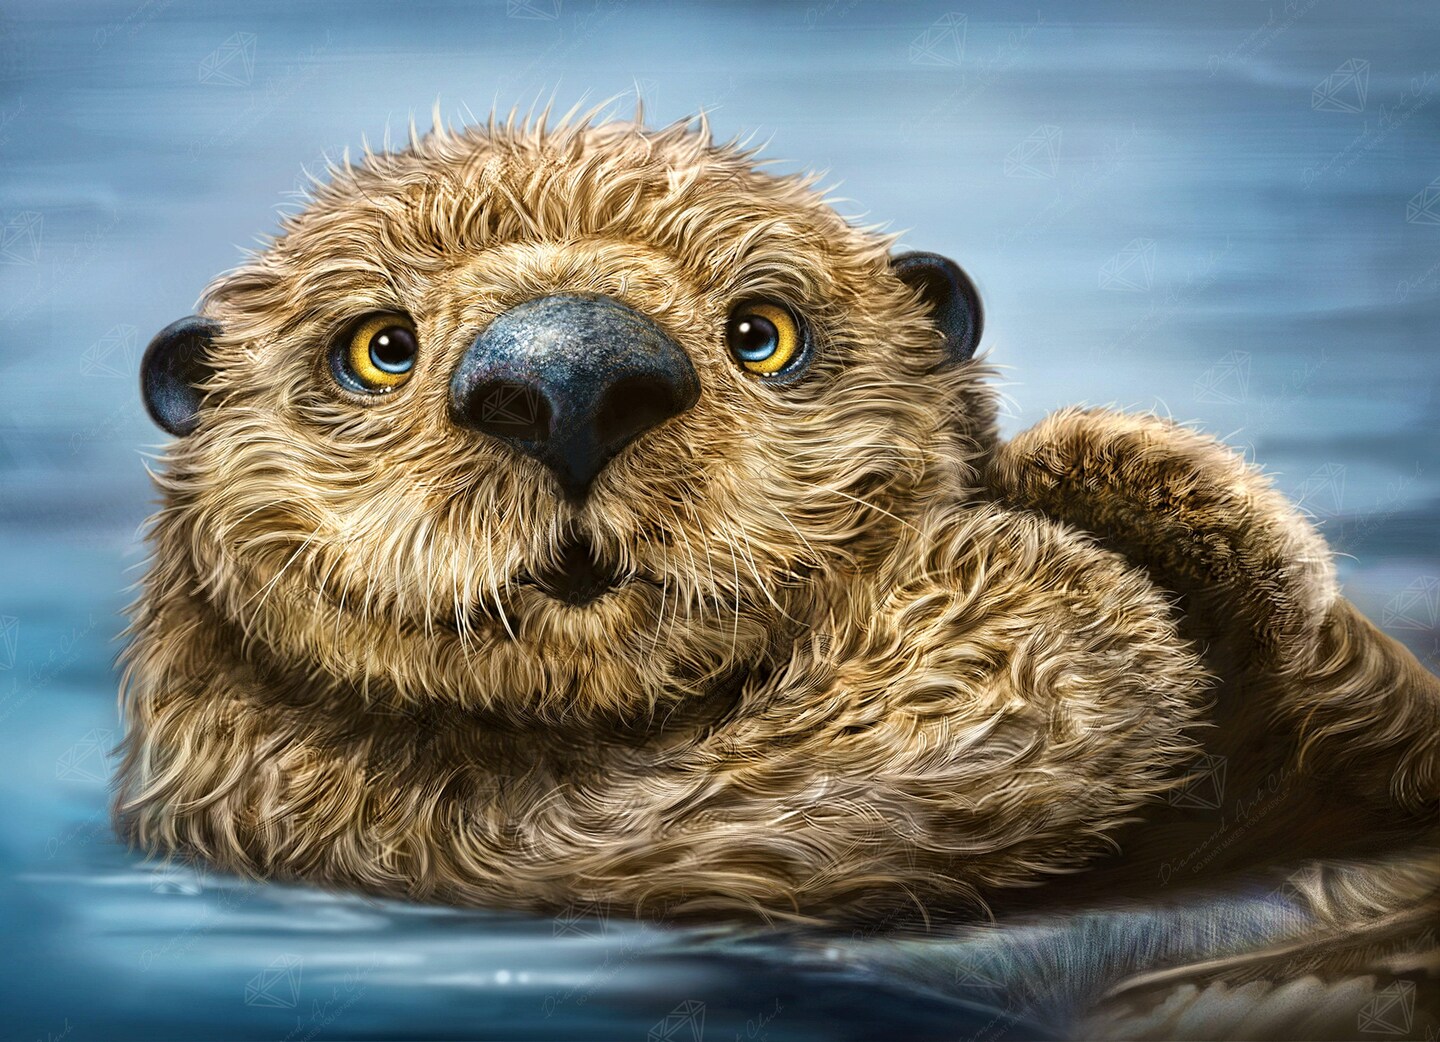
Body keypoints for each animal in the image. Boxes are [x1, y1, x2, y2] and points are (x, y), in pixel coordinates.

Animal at [119, 107, 1439, 1035]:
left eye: (762, 333)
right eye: (379, 349)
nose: (571, 376)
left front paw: (1133, 475)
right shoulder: (406, 827)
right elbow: (802, 786)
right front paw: (1049, 571)